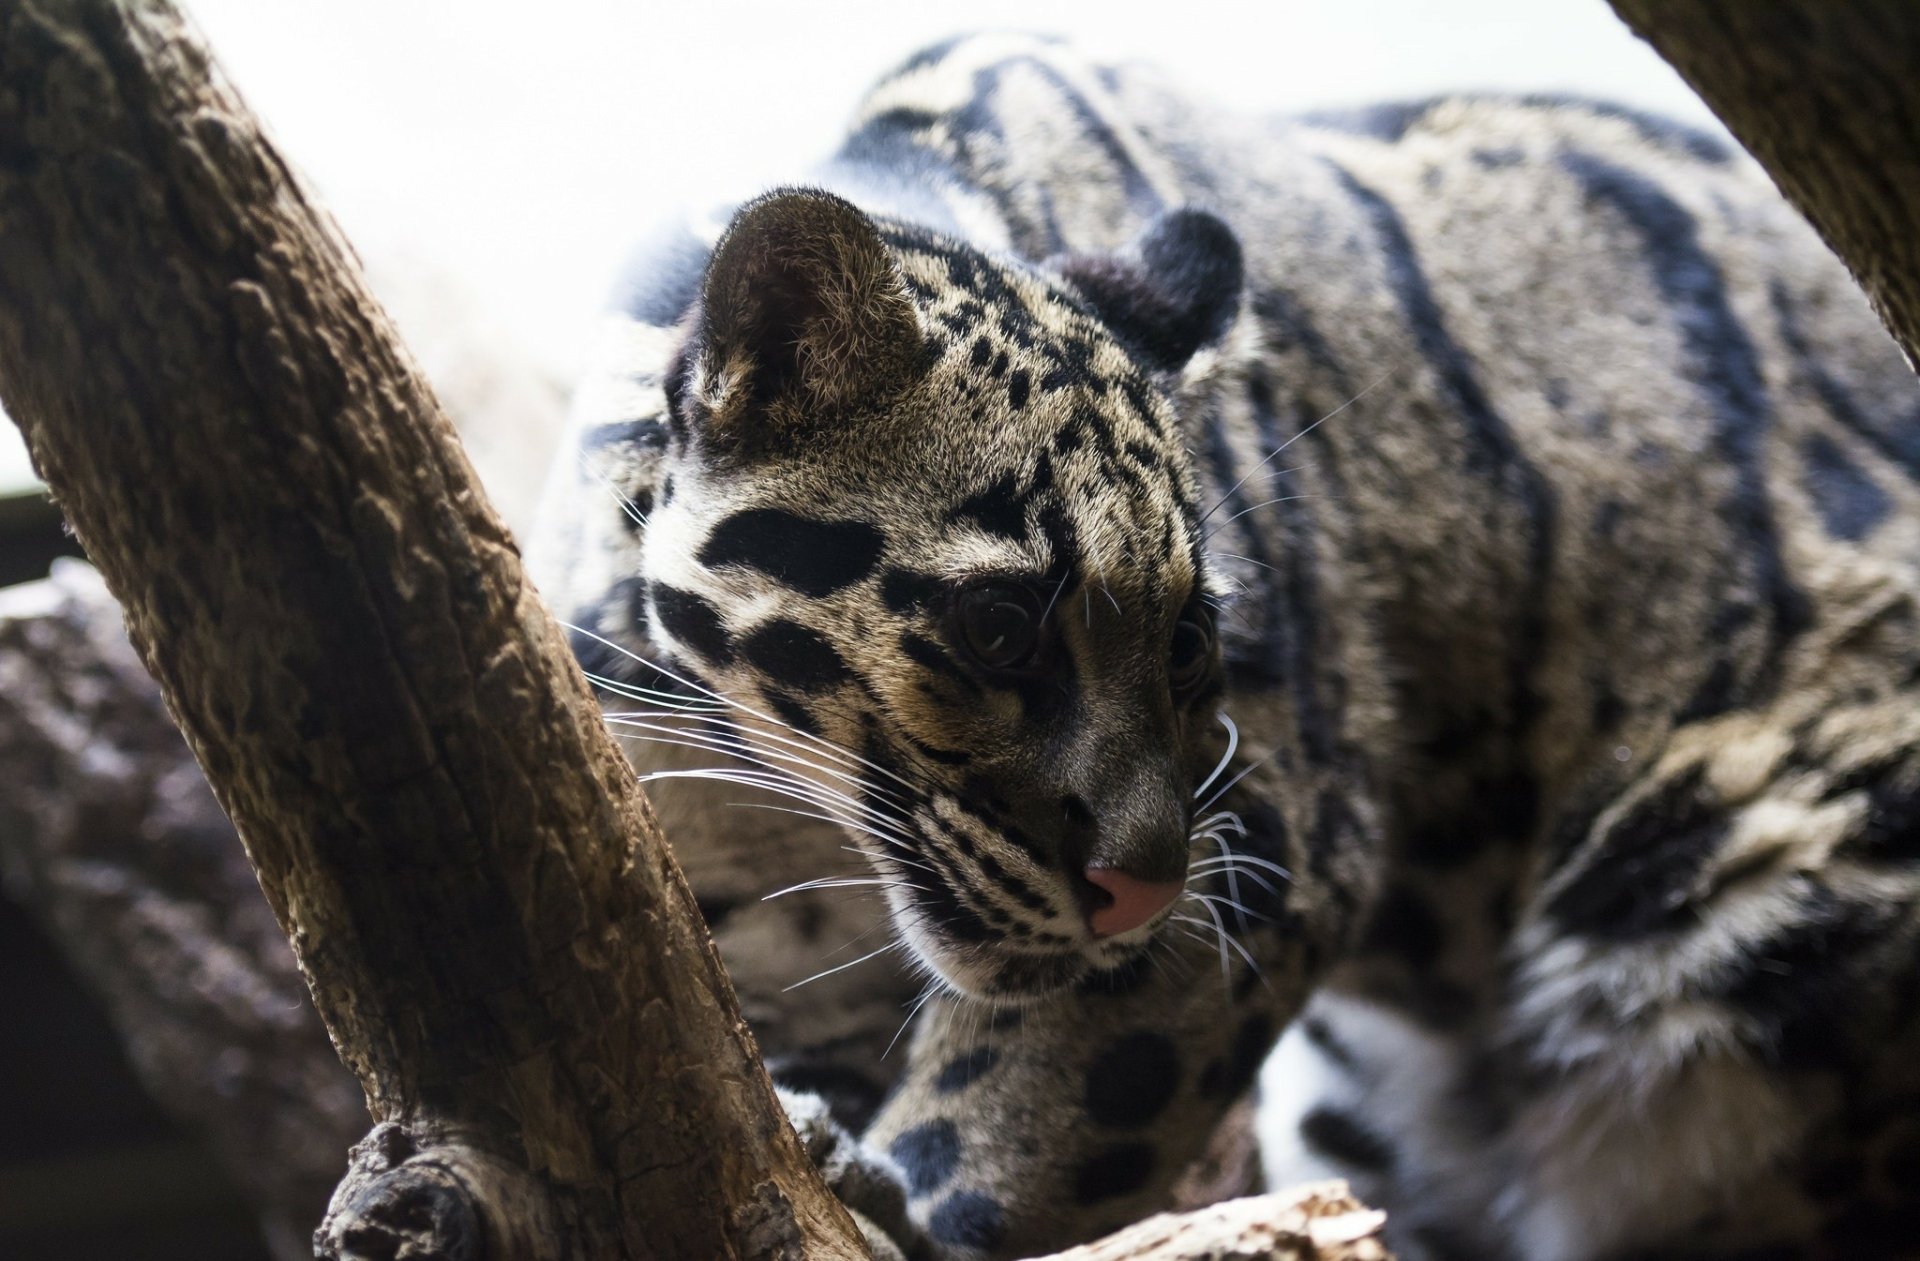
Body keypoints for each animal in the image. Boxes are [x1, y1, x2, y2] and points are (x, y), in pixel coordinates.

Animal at [527, 32, 1920, 1261]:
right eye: (999, 627)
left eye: (1196, 638)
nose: (1141, 889)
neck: (776, 795)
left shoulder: (1278, 828)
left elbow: (1059, 1099)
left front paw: (893, 1199)